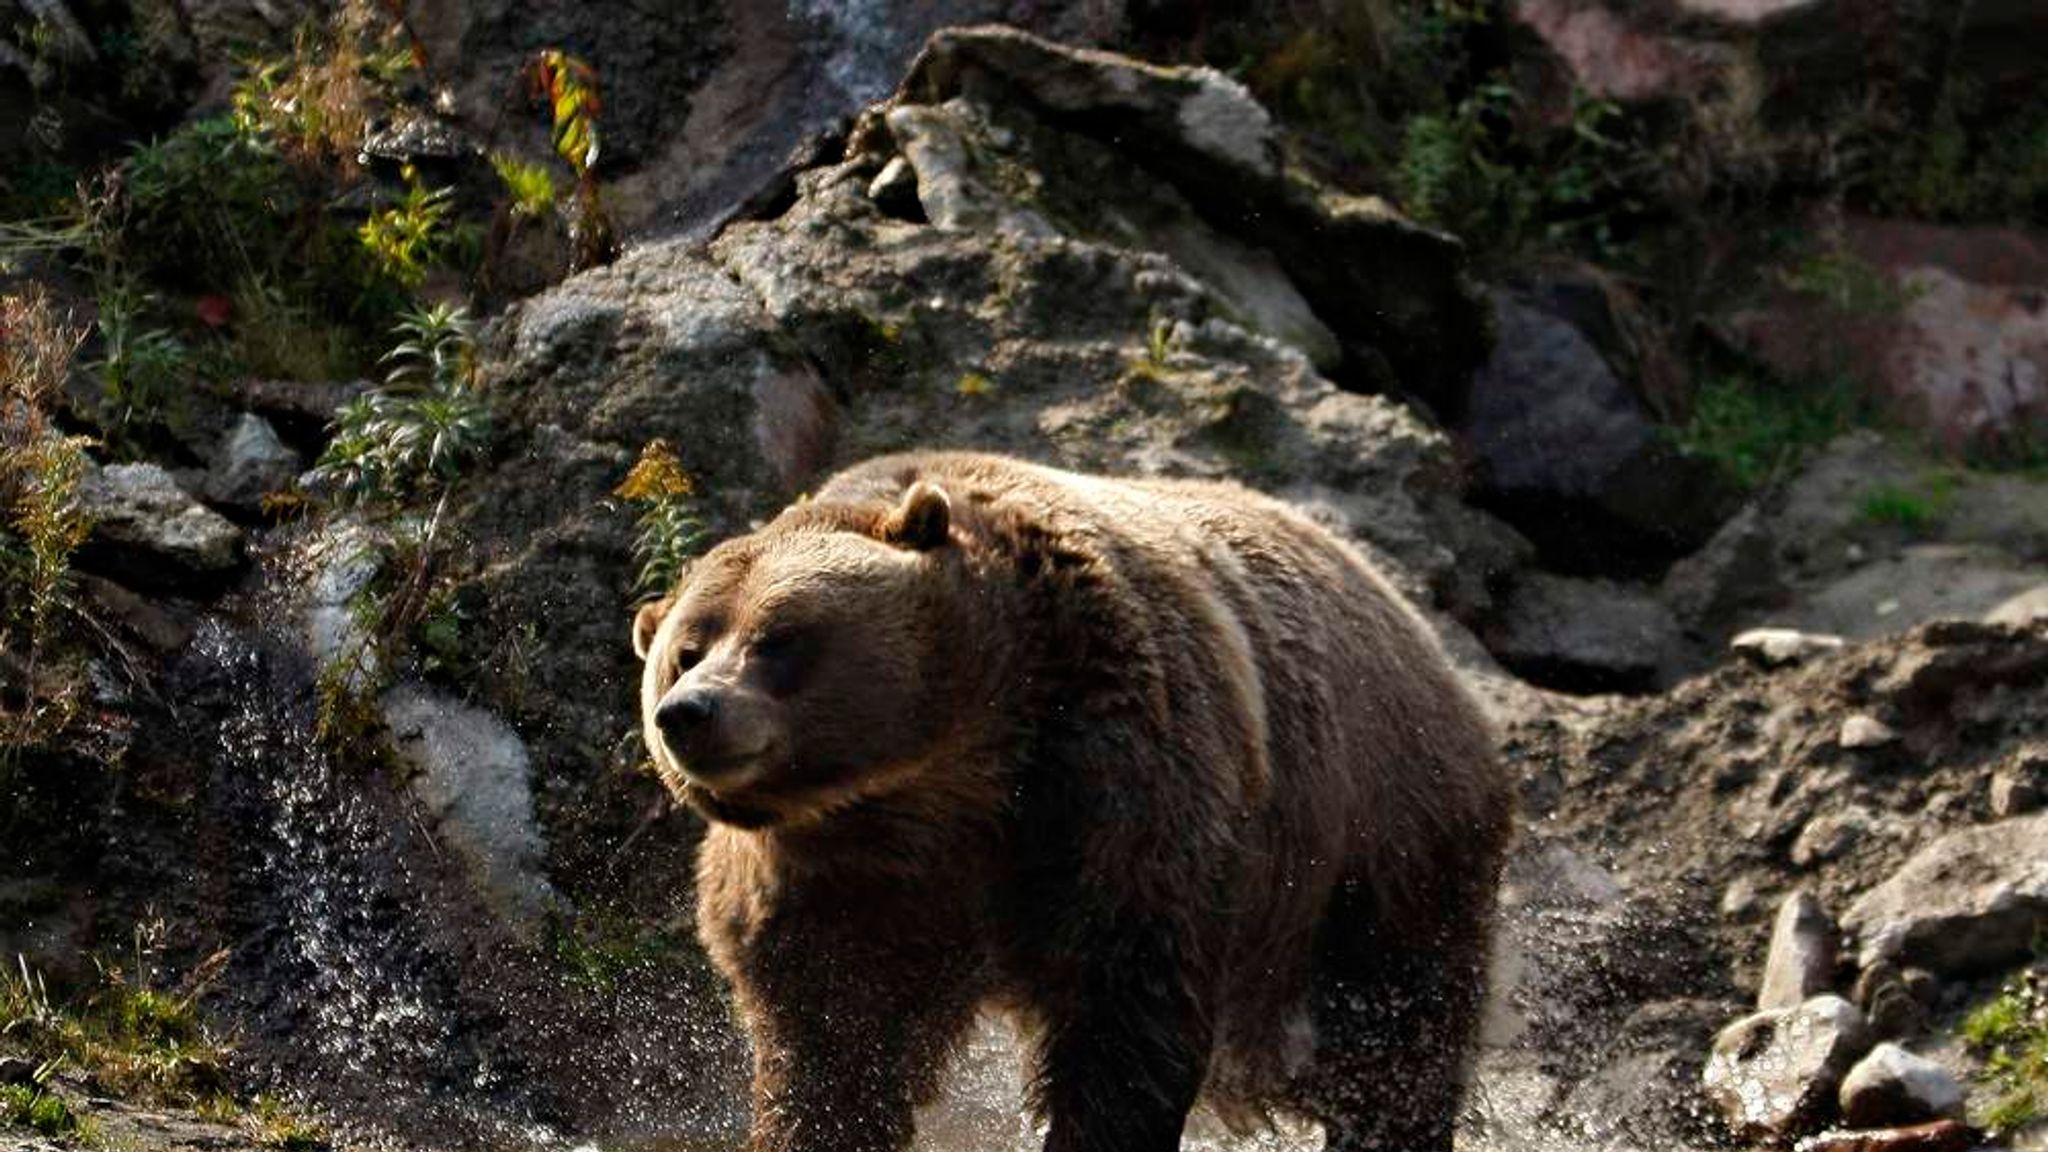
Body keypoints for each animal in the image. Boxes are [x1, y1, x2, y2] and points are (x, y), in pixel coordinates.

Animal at [632, 451, 1513, 1152]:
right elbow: (833, 1048)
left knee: (1399, 1028)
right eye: (685, 649)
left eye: (778, 638)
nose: (689, 713)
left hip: (1380, 835)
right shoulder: (824, 881)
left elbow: (1125, 1020)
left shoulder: (1117, 787)